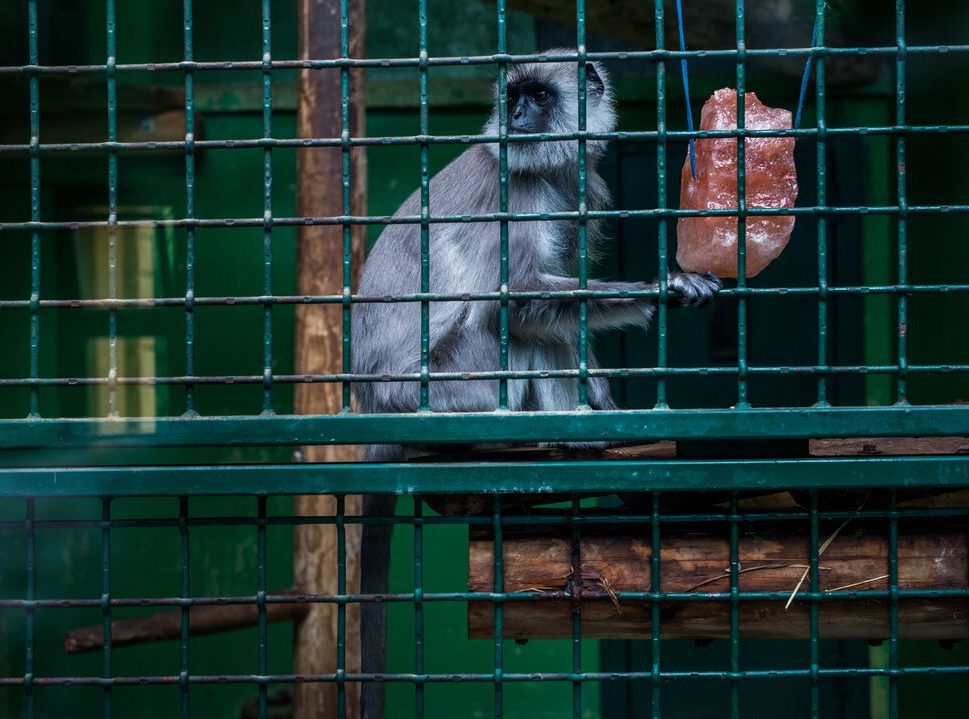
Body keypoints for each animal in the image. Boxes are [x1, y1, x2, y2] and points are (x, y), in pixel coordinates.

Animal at [350, 51, 721, 718]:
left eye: (538, 97)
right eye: (514, 97)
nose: (518, 116)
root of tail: (371, 403)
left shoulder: (571, 186)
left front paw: (603, 399)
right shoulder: (520, 193)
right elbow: (520, 300)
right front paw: (668, 286)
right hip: (444, 389)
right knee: (509, 325)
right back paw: (561, 440)